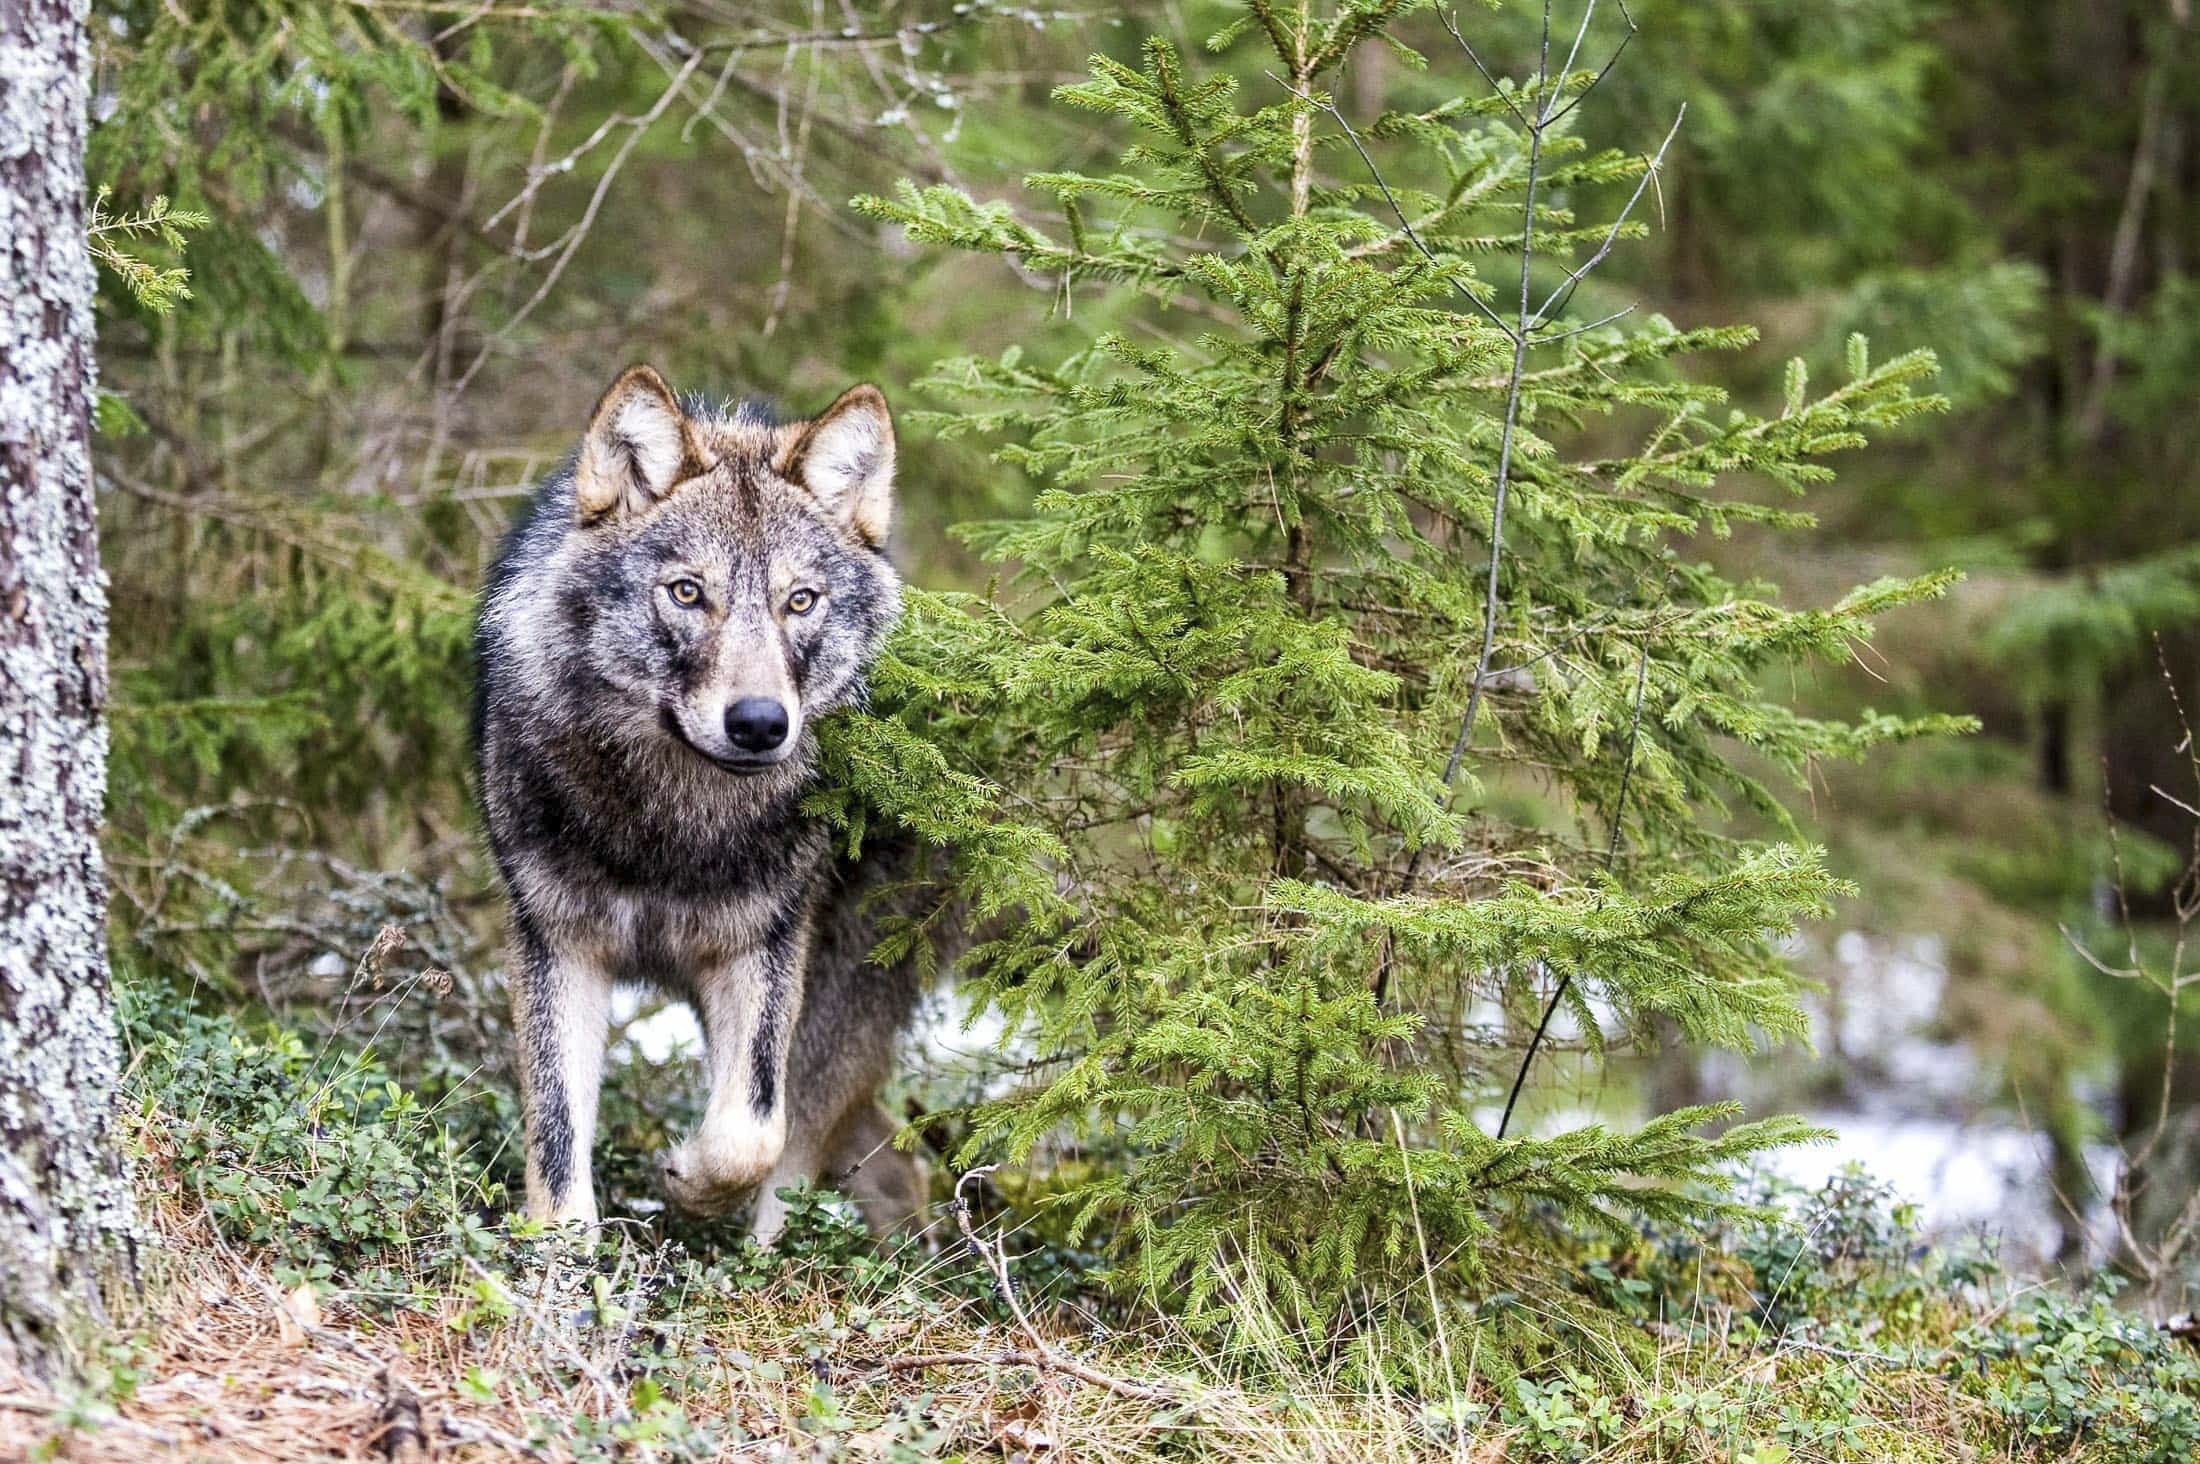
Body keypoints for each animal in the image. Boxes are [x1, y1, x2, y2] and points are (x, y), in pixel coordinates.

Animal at [474, 364, 925, 1242]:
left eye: (800, 601)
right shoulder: (556, 943)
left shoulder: (764, 947)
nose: (759, 723)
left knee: (808, 1148)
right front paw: (563, 1255)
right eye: (688, 593)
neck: (671, 830)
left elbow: (750, 1130)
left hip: (832, 1005)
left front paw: (685, 1182)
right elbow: (556, 1128)